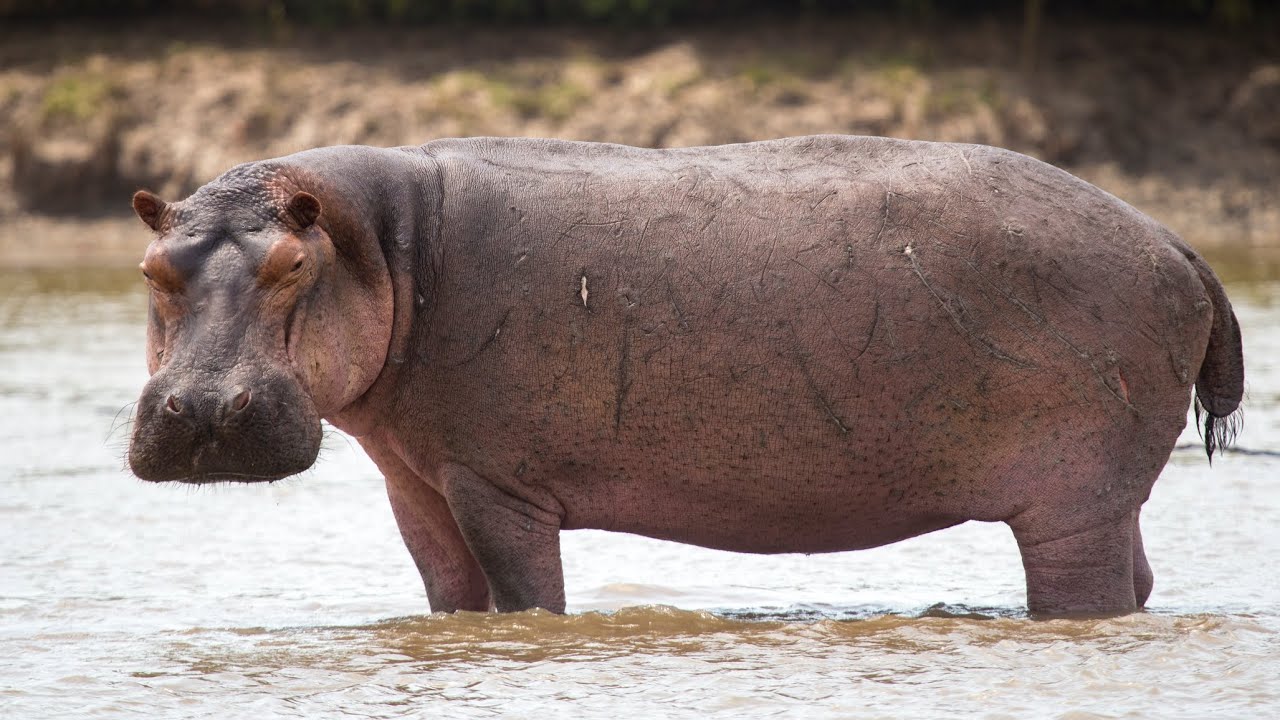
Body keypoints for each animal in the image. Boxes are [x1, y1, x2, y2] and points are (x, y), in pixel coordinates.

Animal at [127, 135, 1244, 617]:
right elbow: (451, 599)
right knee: (1139, 581)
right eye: (150, 268)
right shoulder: (418, 482)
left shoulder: (497, 485)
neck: (385, 247)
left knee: (1087, 590)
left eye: (291, 265)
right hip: (1105, 495)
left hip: (1070, 500)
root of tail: (1176, 242)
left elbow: (525, 600)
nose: (203, 411)